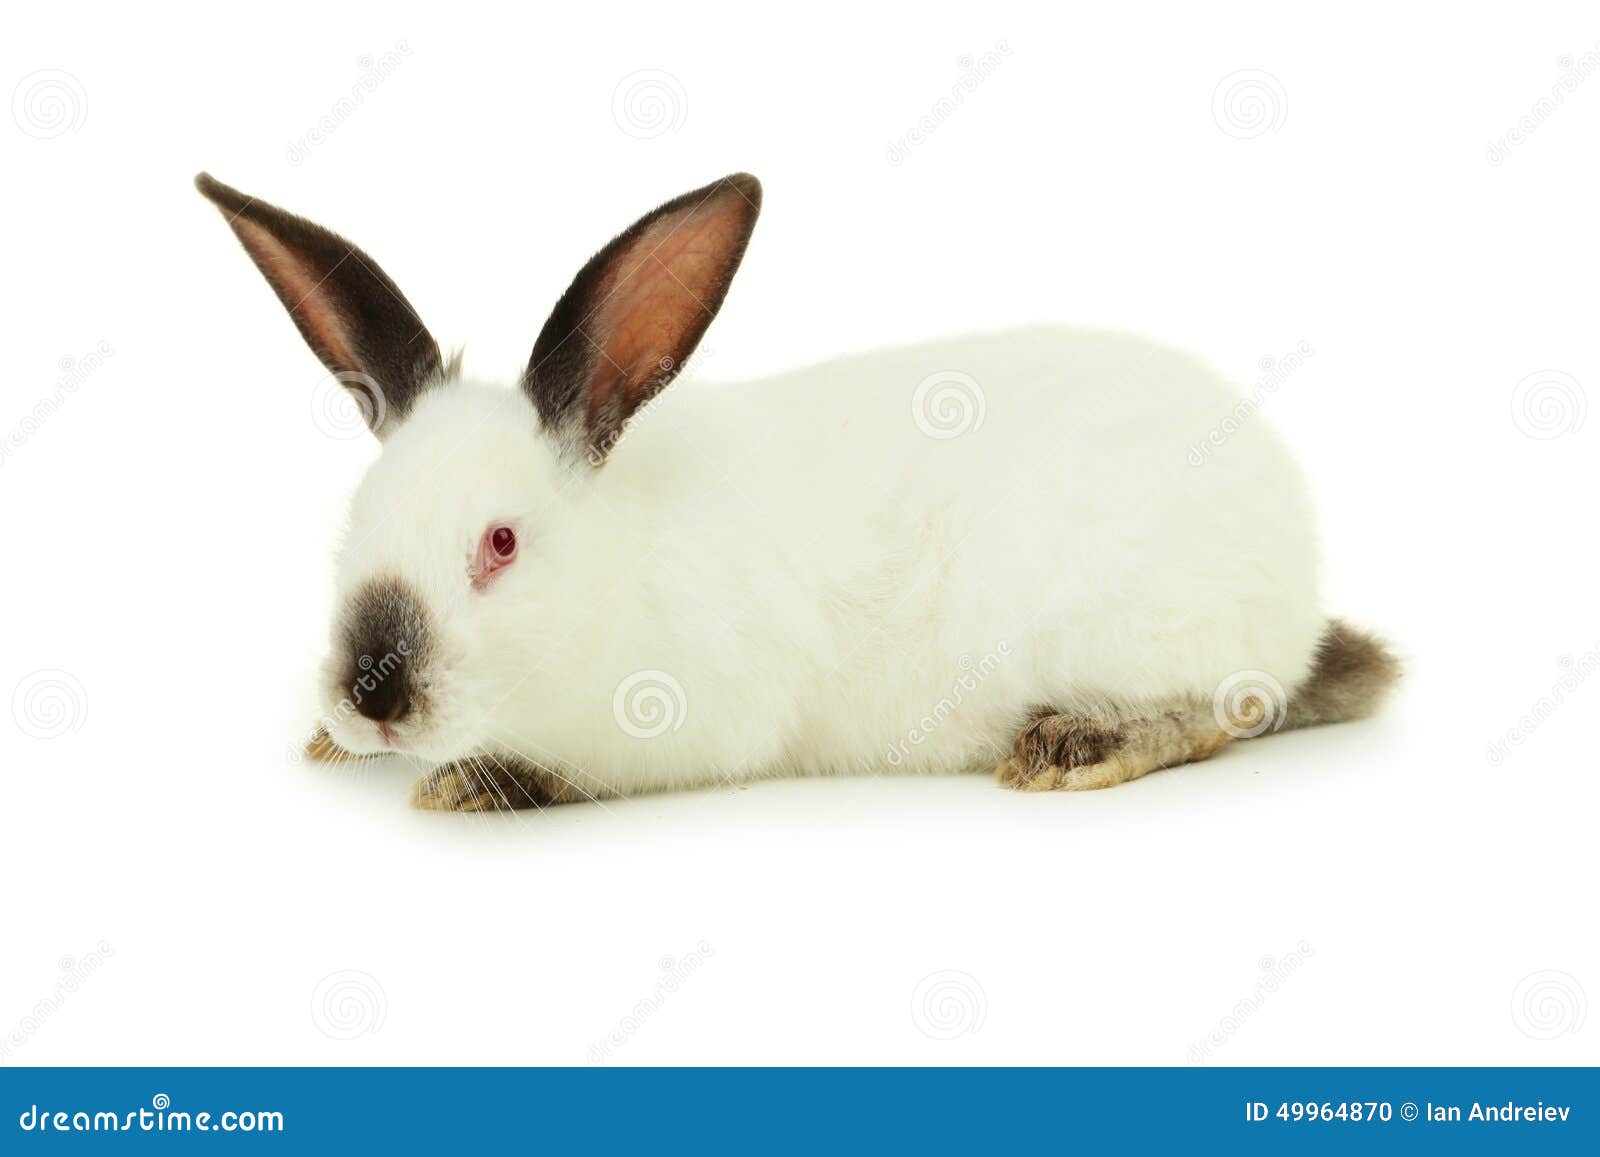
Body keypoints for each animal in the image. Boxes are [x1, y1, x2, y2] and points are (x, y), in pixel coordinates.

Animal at [196, 170, 1399, 811]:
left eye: (499, 544)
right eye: (353, 526)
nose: (372, 695)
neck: (607, 575)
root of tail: (1298, 587)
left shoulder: (677, 723)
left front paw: (468, 783)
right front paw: (327, 745)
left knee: (1223, 711)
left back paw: (1072, 747)